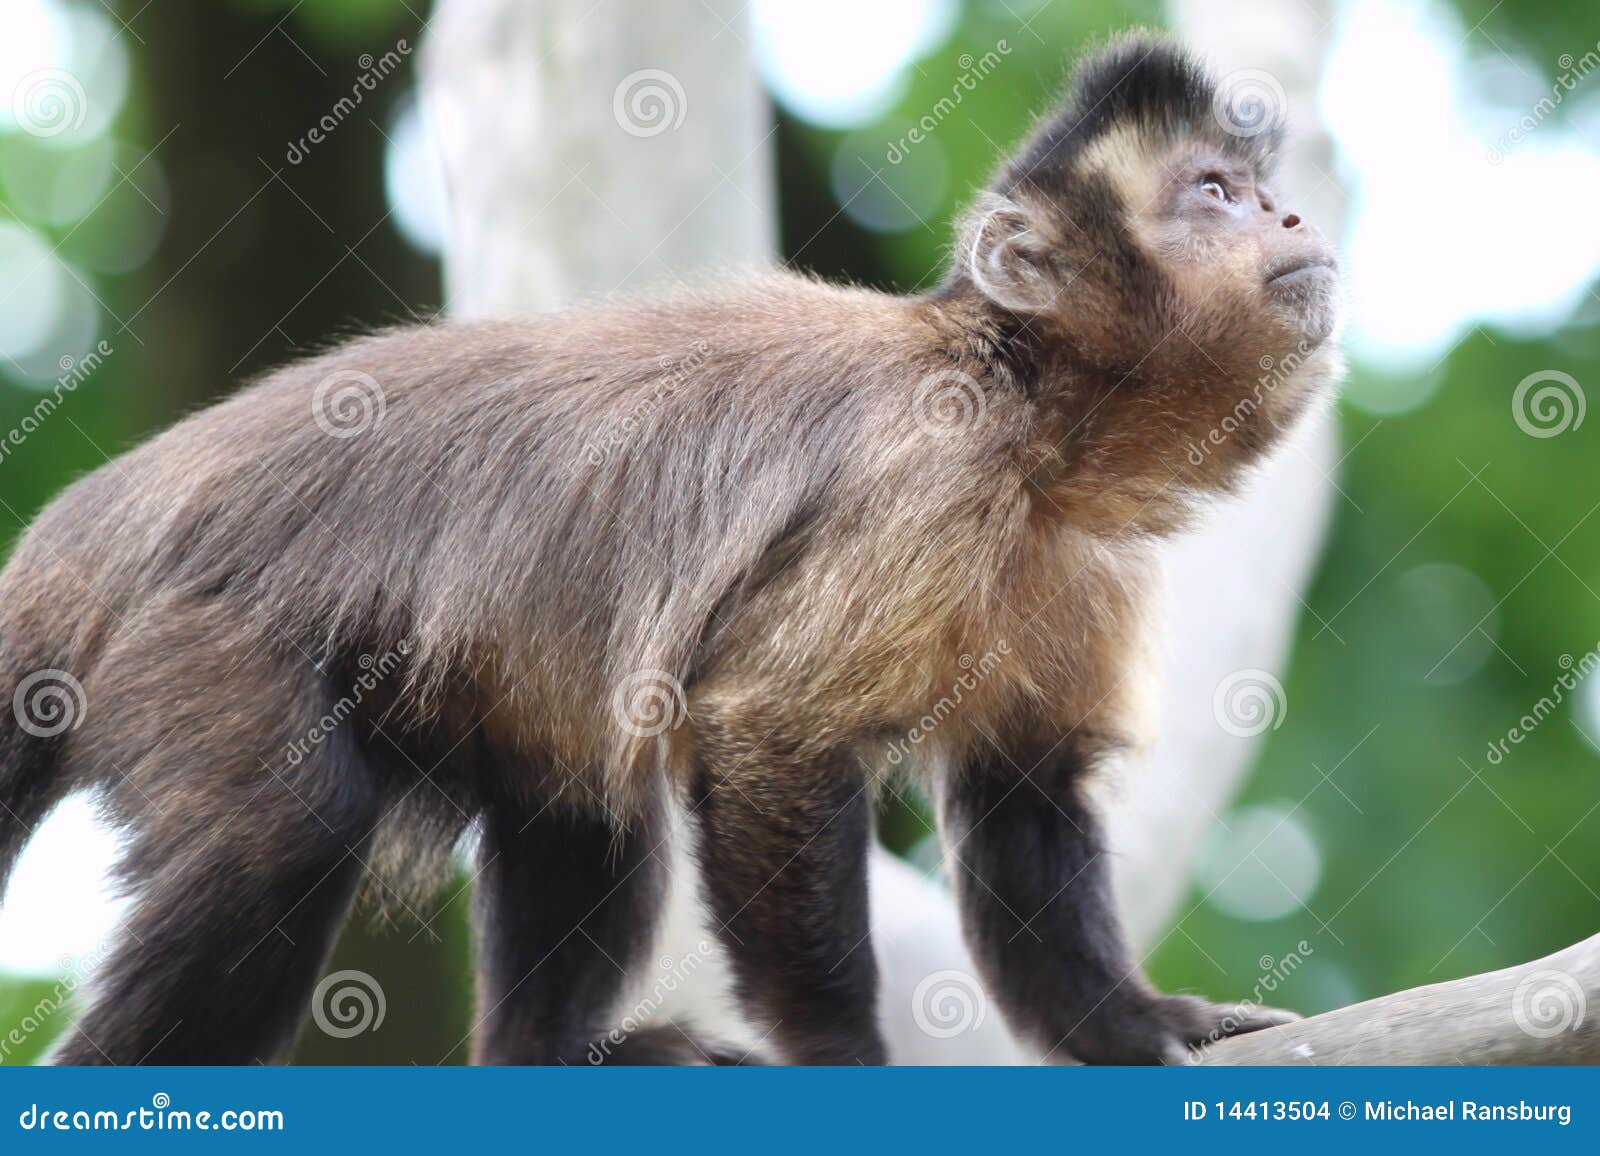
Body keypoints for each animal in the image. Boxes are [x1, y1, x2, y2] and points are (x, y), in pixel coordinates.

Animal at [0, 34, 1340, 1066]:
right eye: (1211, 193)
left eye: (1250, 189)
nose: (1287, 213)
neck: (1031, 417)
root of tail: (82, 529)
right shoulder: (922, 481)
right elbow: (770, 732)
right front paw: (843, 1059)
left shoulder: (1086, 554)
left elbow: (1025, 795)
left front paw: (1133, 1025)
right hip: (194, 634)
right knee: (287, 829)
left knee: (582, 800)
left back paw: (541, 1062)